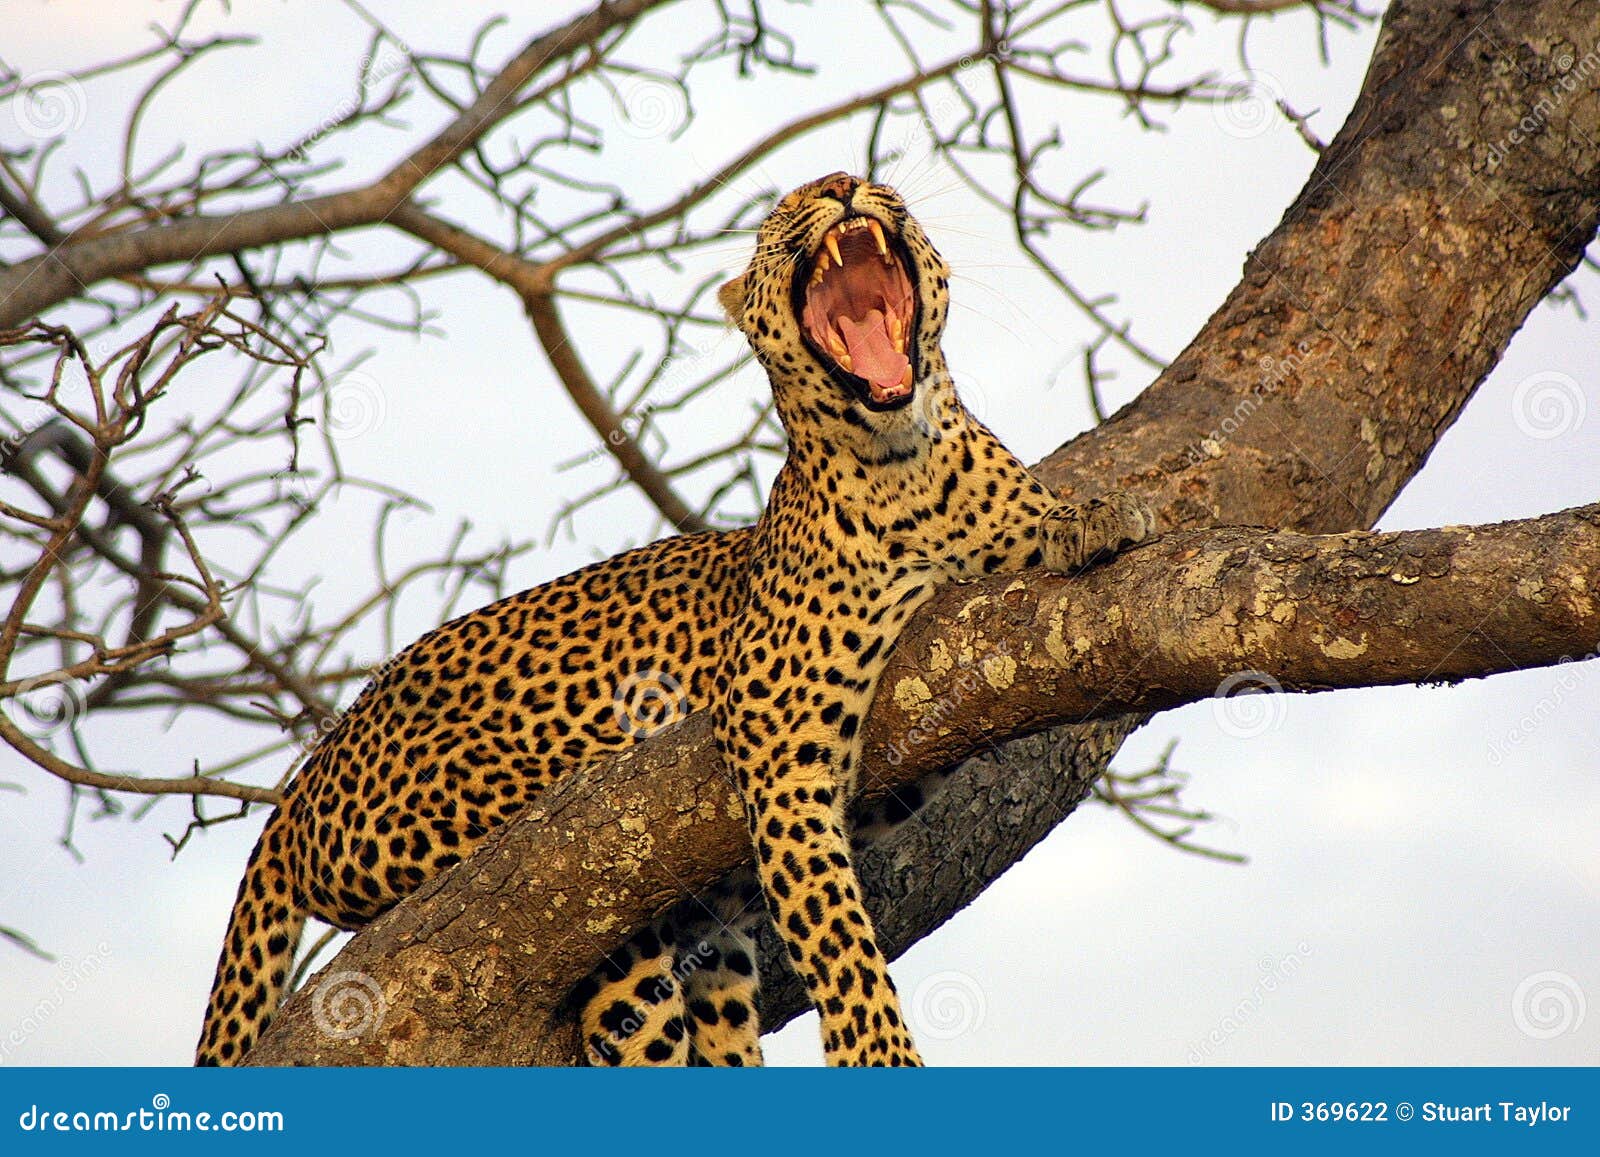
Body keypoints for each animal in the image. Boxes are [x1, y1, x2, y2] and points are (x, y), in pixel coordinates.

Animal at [195, 171, 1154, 1068]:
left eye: (873, 181)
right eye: (783, 212)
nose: (841, 183)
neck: (906, 461)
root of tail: (301, 784)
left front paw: (1094, 519)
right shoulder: (773, 729)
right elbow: (837, 935)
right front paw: (880, 1052)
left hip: (711, 953)